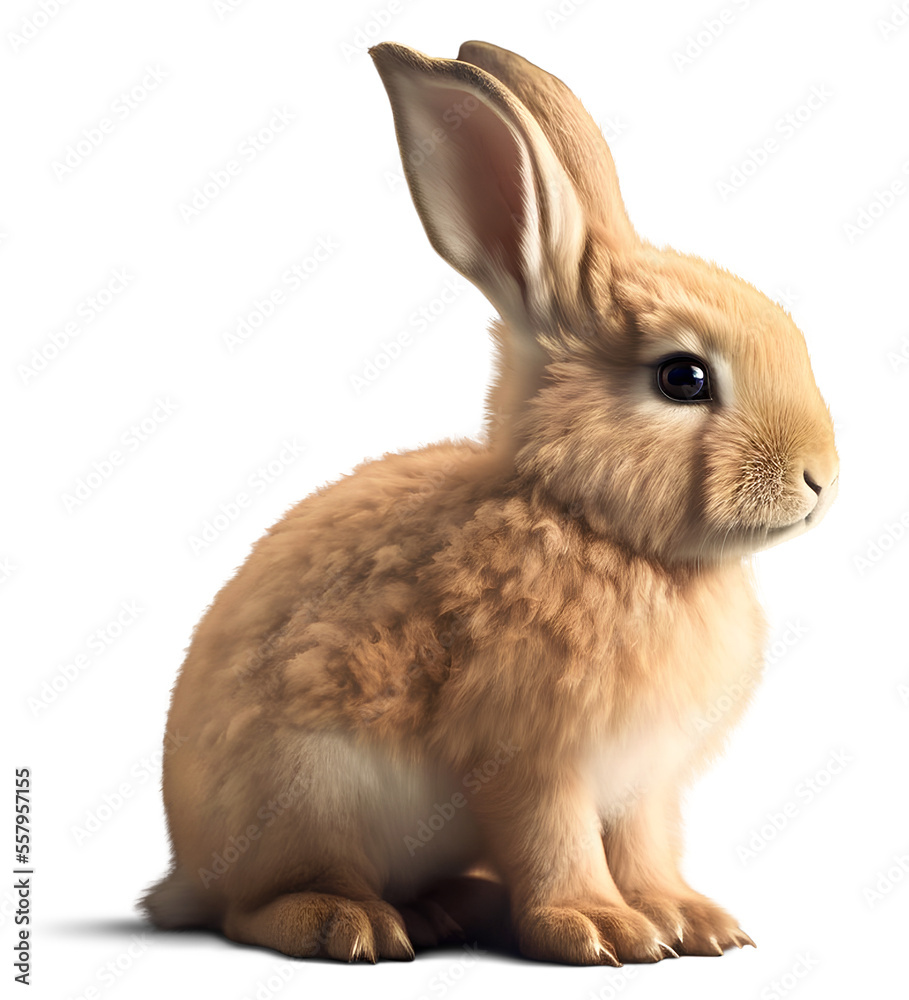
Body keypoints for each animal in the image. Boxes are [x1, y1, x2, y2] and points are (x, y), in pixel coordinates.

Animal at [141, 39, 838, 966]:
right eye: (683, 377)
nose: (821, 475)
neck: (592, 525)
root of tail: (182, 869)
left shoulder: (644, 781)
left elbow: (648, 849)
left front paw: (692, 923)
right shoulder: (532, 760)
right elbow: (556, 845)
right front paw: (601, 929)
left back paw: (455, 908)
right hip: (309, 796)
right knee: (250, 907)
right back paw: (352, 924)